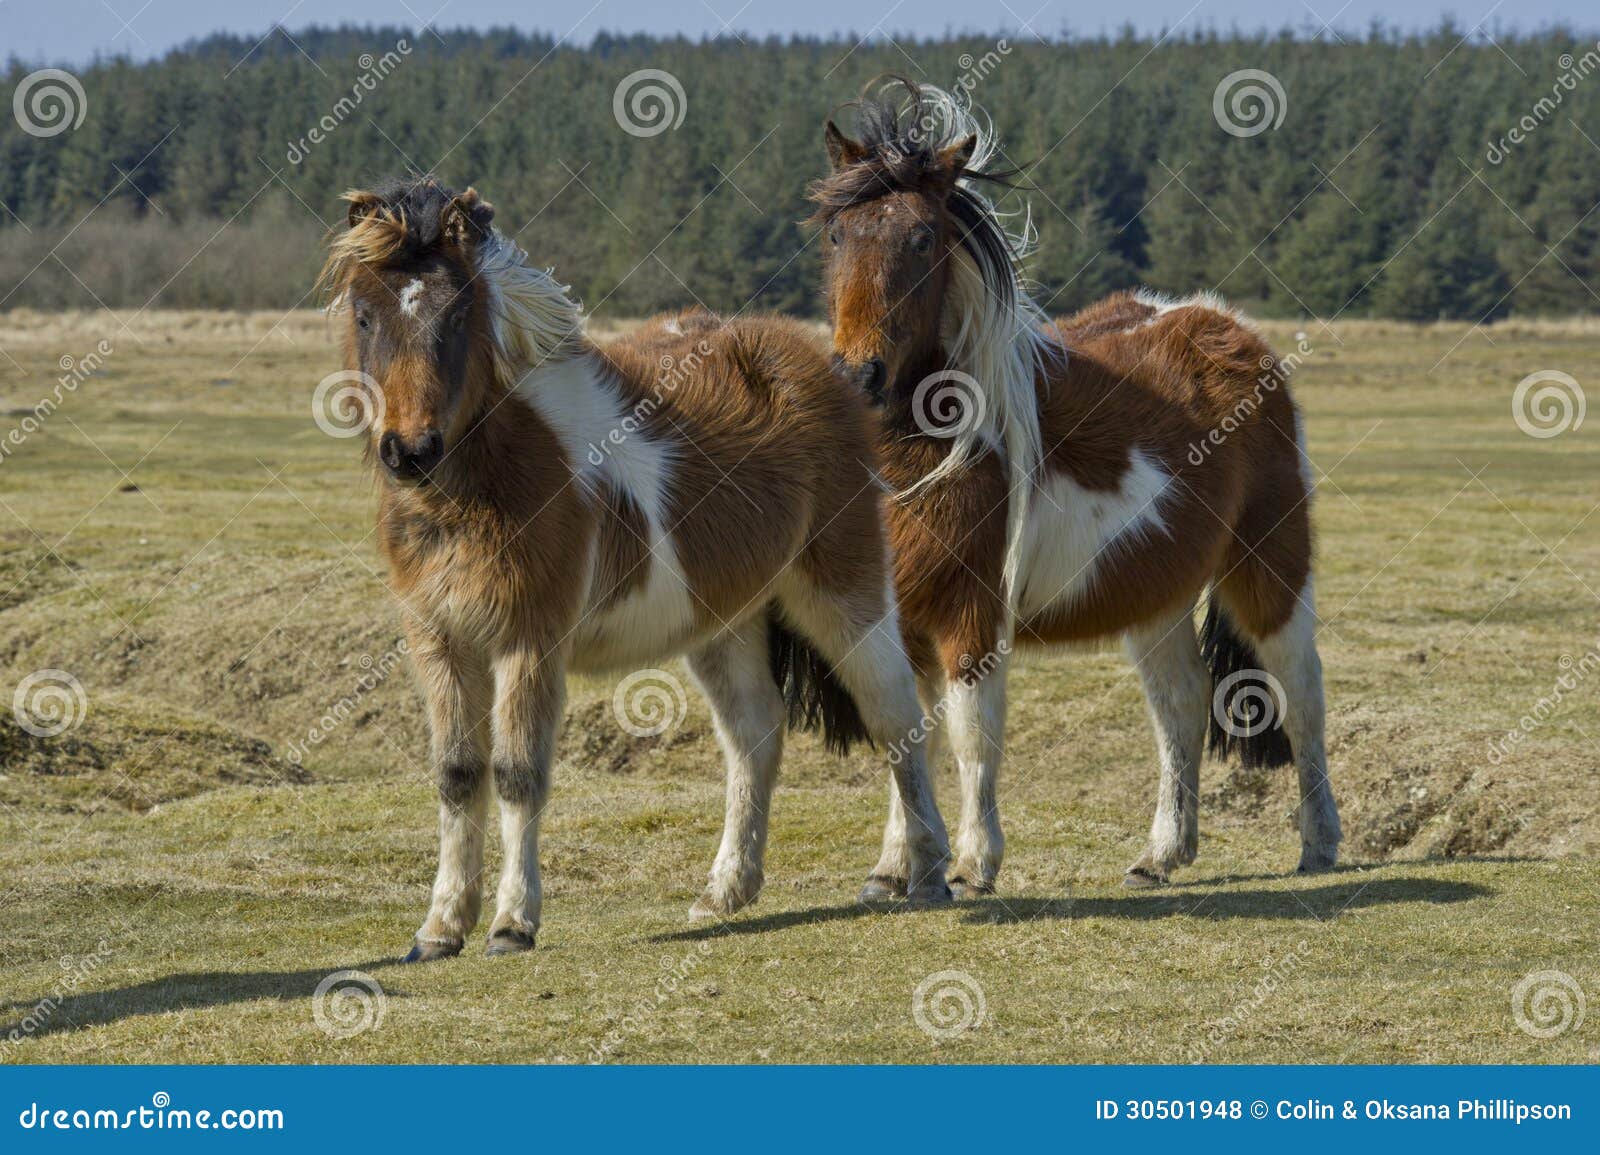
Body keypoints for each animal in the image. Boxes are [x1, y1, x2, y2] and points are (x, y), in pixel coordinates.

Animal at [318, 175, 953, 959]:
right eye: (364, 314)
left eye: (458, 313)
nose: (411, 450)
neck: (496, 472)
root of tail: (825, 369)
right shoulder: (440, 639)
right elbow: (458, 775)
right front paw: (439, 928)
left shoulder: (530, 640)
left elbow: (518, 773)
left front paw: (512, 923)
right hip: (725, 622)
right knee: (755, 732)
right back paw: (726, 890)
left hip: (843, 589)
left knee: (897, 712)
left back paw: (925, 872)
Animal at [808, 79, 1342, 895]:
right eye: (838, 235)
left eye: (923, 239)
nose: (860, 376)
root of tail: (1228, 327)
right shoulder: (897, 622)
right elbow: (904, 735)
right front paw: (896, 869)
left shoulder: (973, 617)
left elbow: (971, 736)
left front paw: (973, 863)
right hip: (1156, 591)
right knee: (1182, 703)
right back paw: (1162, 853)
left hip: (1270, 567)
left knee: (1301, 692)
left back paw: (1318, 841)